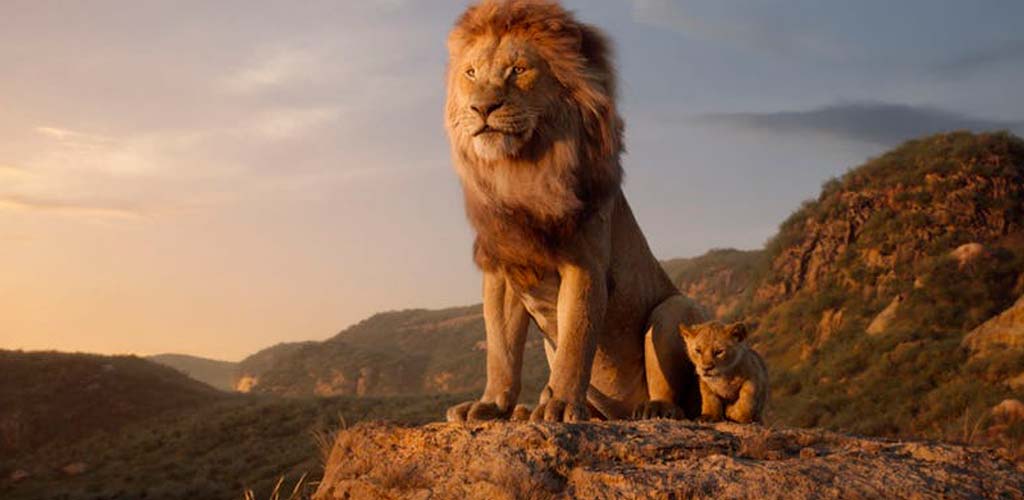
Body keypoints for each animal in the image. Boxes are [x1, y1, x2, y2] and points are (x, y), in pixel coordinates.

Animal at [443, 0, 707, 423]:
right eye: (471, 73)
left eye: (518, 70)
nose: (482, 107)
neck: (521, 171)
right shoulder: (503, 270)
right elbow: (501, 350)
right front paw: (491, 405)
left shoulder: (585, 264)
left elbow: (576, 341)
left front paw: (561, 404)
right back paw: (530, 411)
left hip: (674, 309)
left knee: (676, 392)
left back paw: (654, 408)